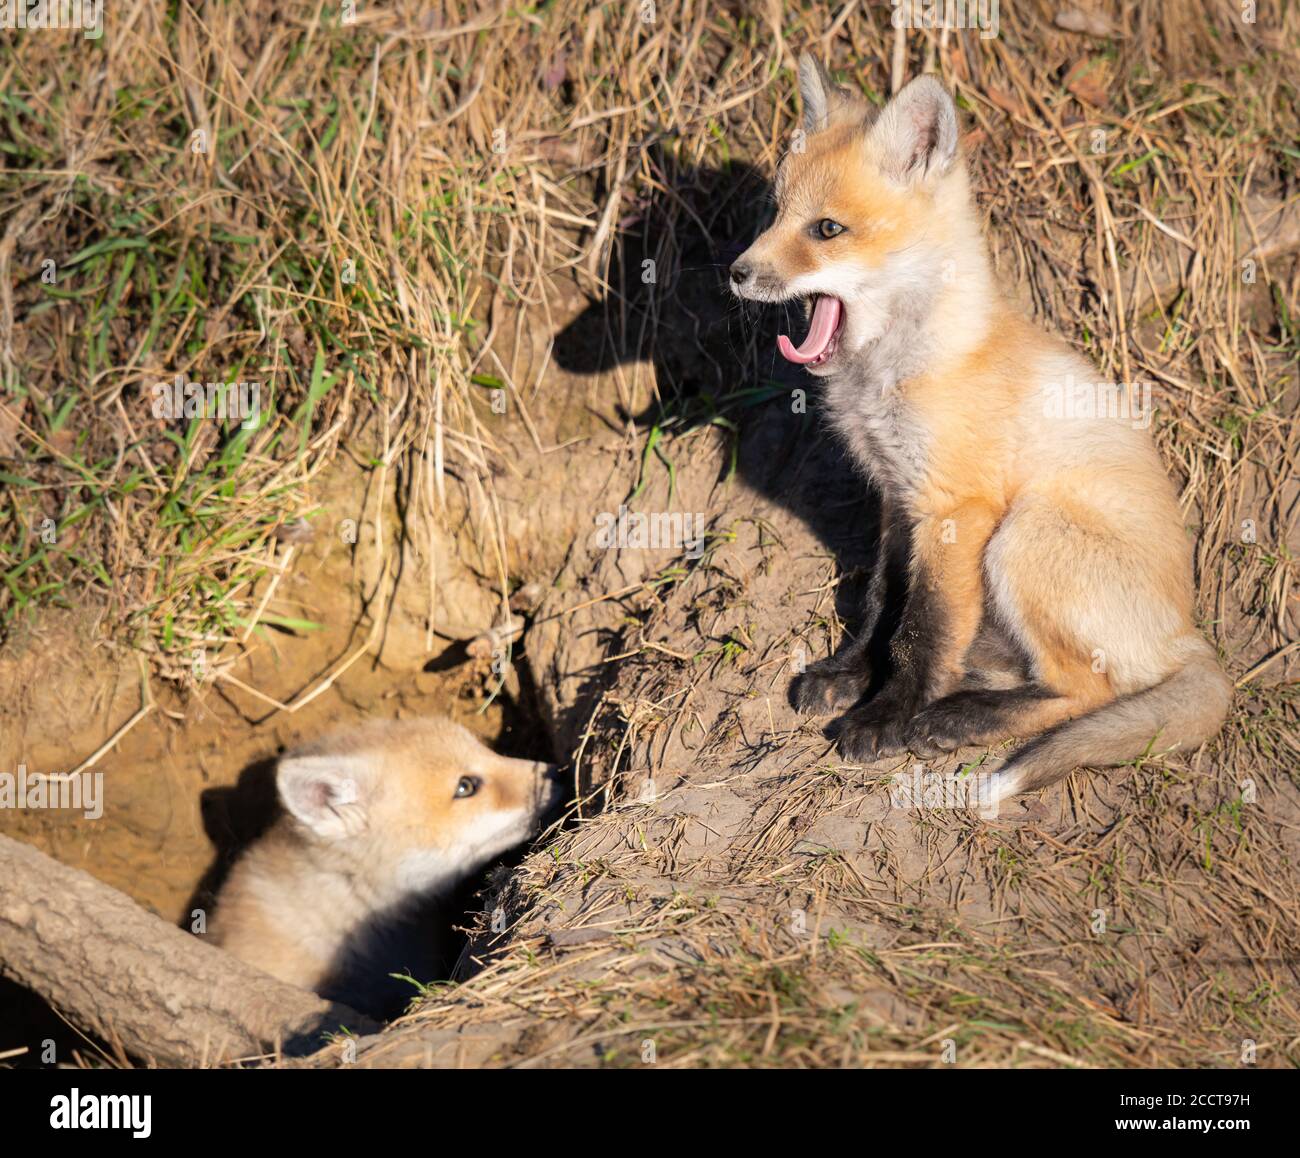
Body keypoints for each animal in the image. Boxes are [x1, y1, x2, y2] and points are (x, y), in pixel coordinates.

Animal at [730, 55, 1231, 808]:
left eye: (826, 229)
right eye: (776, 211)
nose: (736, 274)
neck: (893, 375)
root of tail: (1187, 630)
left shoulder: (955, 510)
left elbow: (923, 629)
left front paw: (886, 716)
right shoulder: (897, 497)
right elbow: (882, 605)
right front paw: (850, 676)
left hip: (1023, 536)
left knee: (1087, 689)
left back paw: (958, 719)